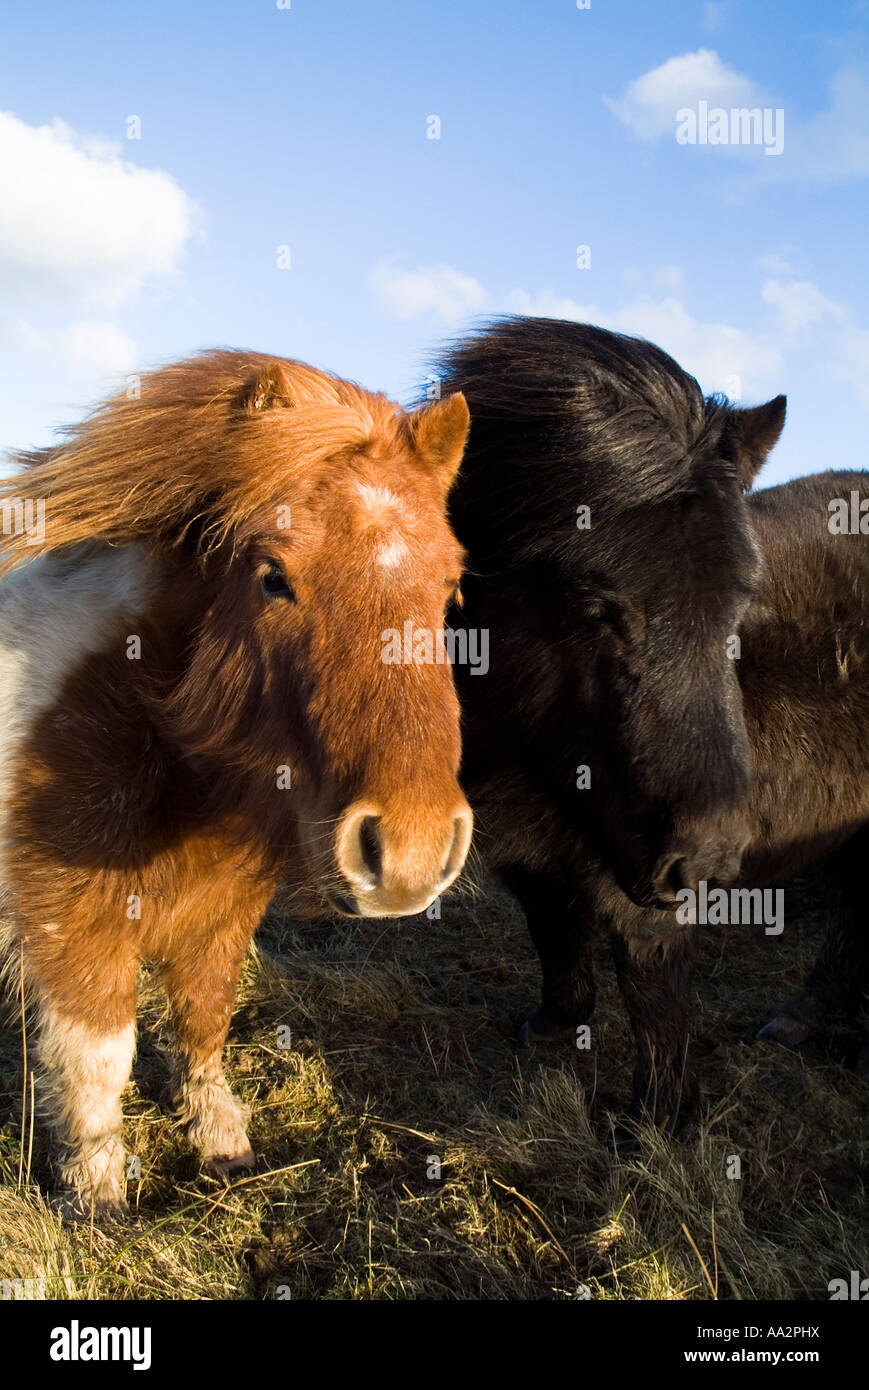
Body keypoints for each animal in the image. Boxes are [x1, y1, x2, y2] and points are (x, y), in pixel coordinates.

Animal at [0, 350, 473, 1216]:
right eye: (273, 577)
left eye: (451, 587)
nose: (412, 855)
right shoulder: (66, 922)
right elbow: (98, 1054)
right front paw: (98, 1196)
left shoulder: (223, 905)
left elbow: (205, 1017)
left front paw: (219, 1140)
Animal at [433, 316, 869, 1131]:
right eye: (590, 603)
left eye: (740, 606)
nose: (708, 858)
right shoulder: (532, 852)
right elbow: (552, 930)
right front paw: (552, 1026)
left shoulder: (640, 882)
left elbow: (653, 997)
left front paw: (653, 1125)